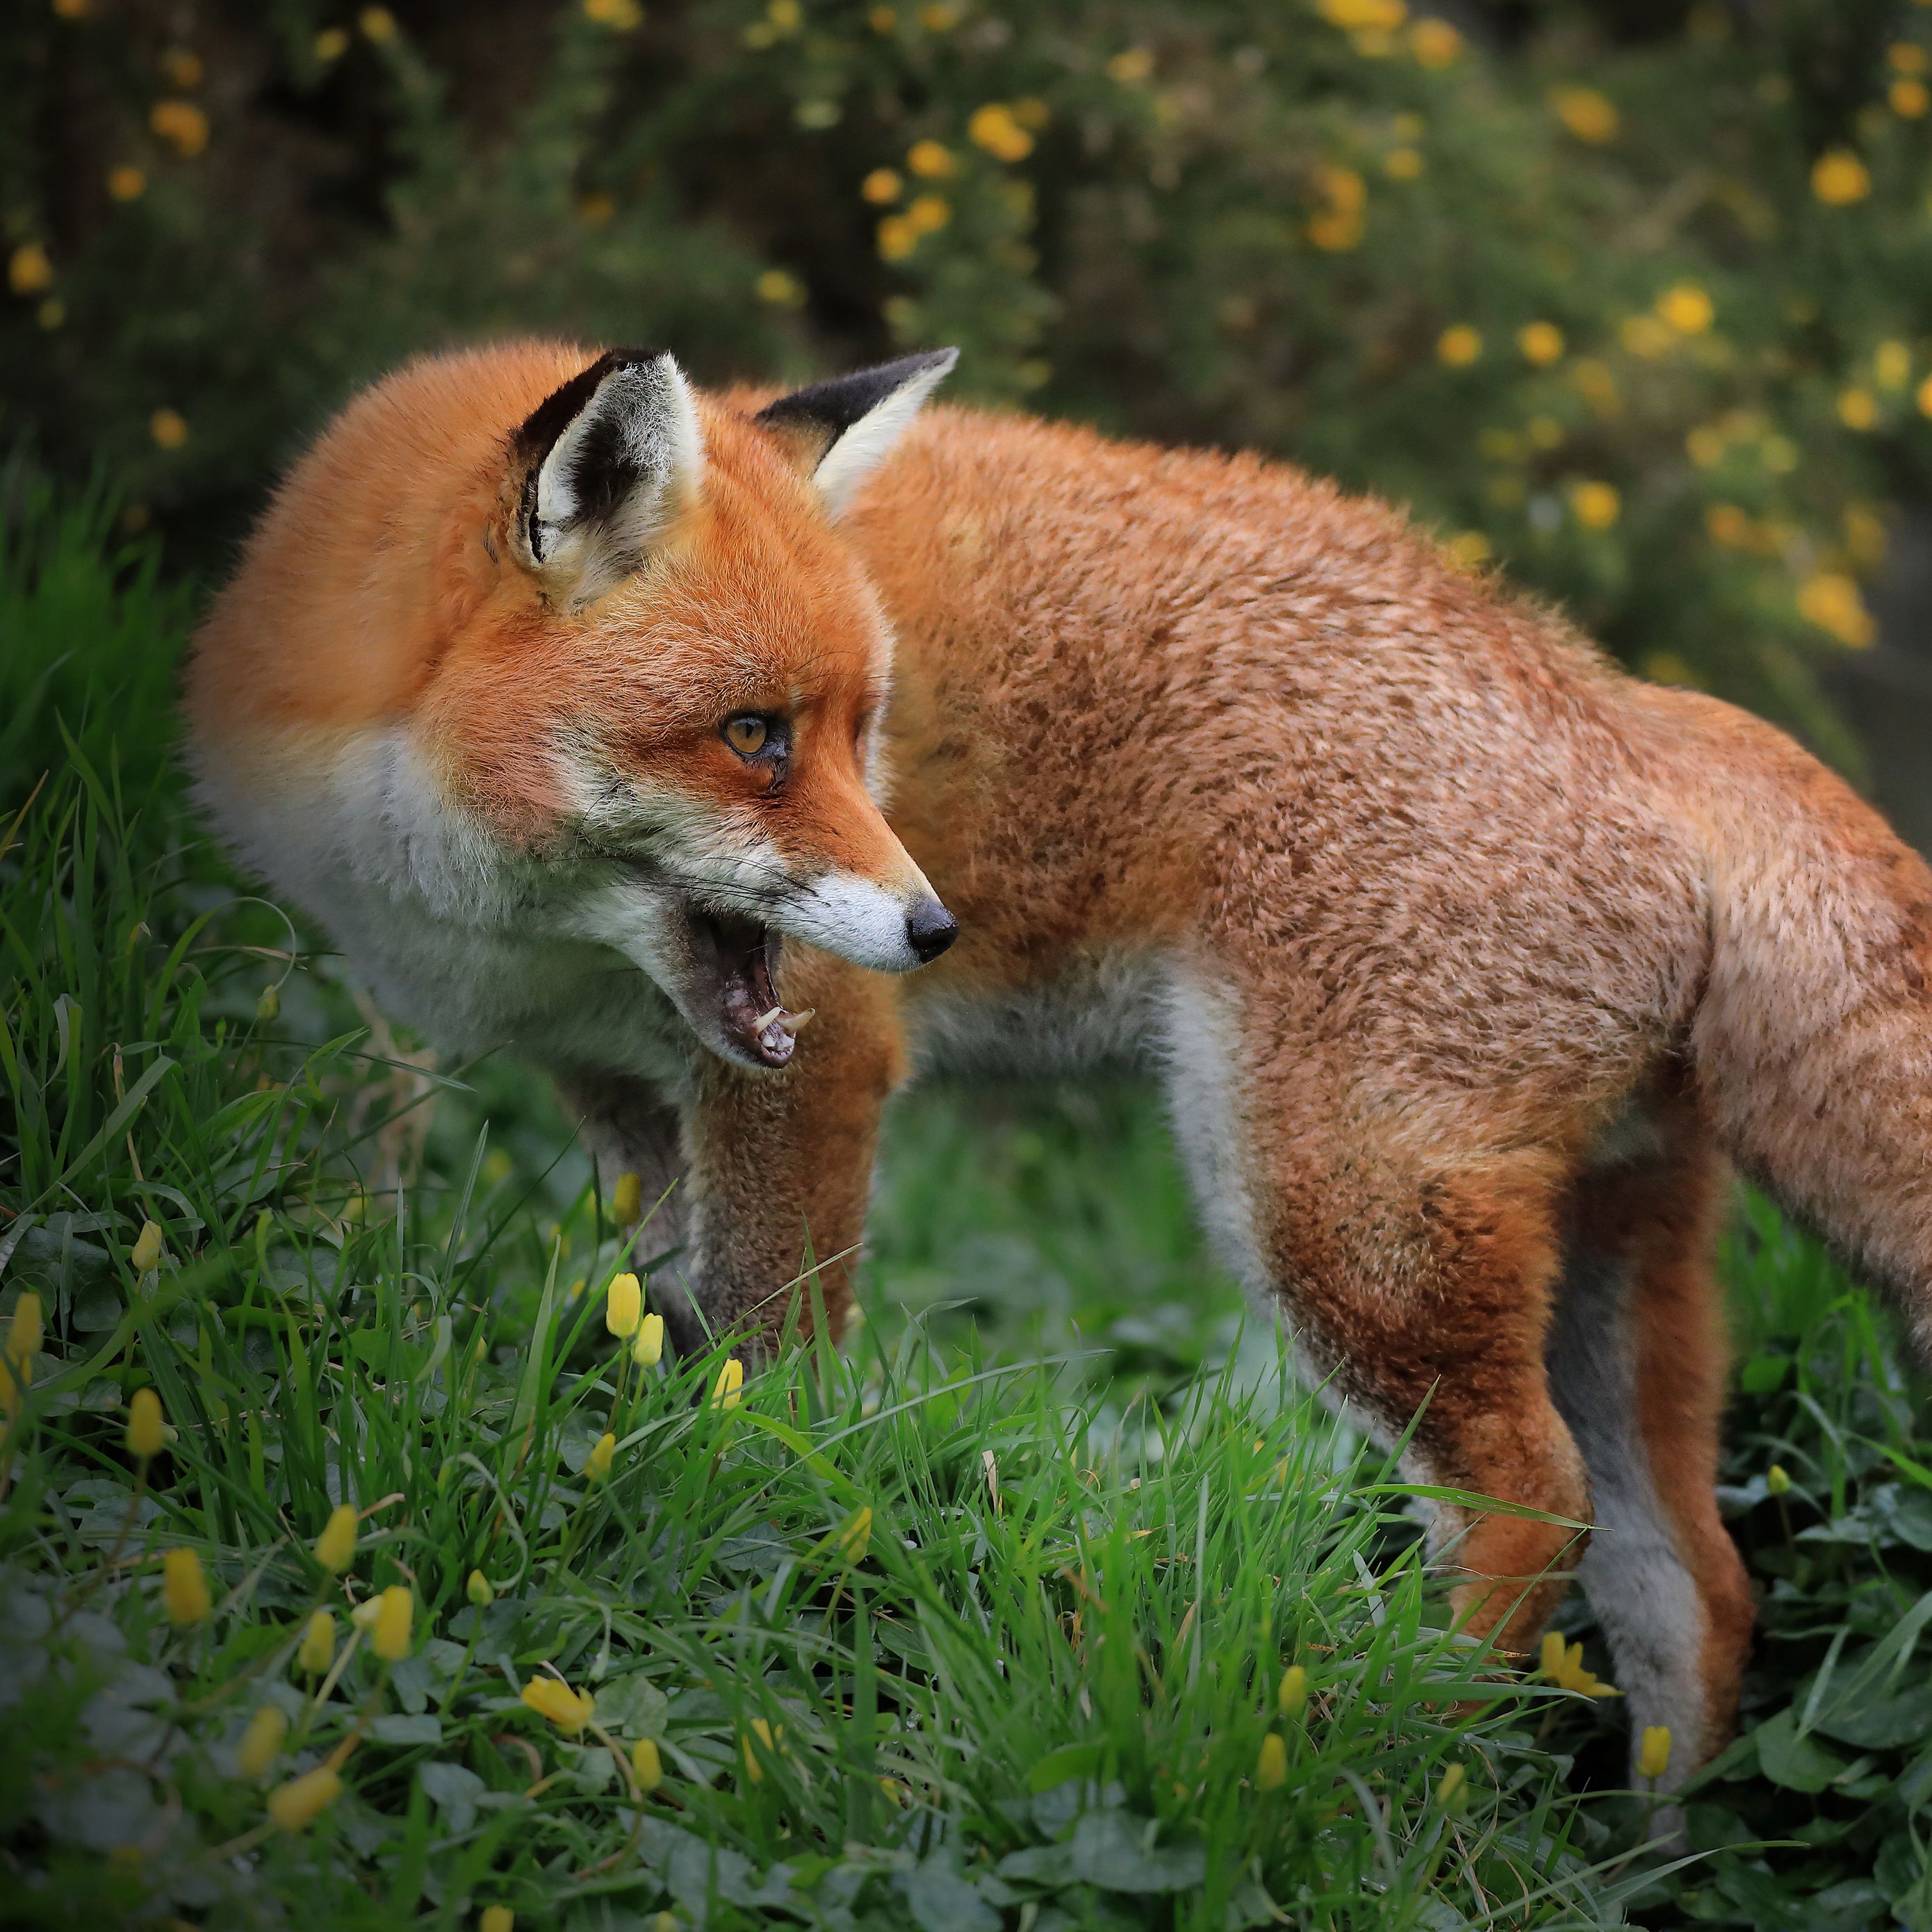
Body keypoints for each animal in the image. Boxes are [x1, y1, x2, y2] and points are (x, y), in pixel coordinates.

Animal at [184, 337, 1932, 1799]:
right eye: (756, 735)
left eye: (864, 730)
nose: (931, 926)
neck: (502, 919)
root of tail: (1622, 700)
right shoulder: (620, 1097)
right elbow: (659, 1315)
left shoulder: (816, 1072)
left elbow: (768, 1360)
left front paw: (763, 1521)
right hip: (1604, 1259)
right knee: (1692, 1585)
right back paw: (1632, 1855)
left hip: (1329, 1214)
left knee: (1527, 1493)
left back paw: (1385, 1729)